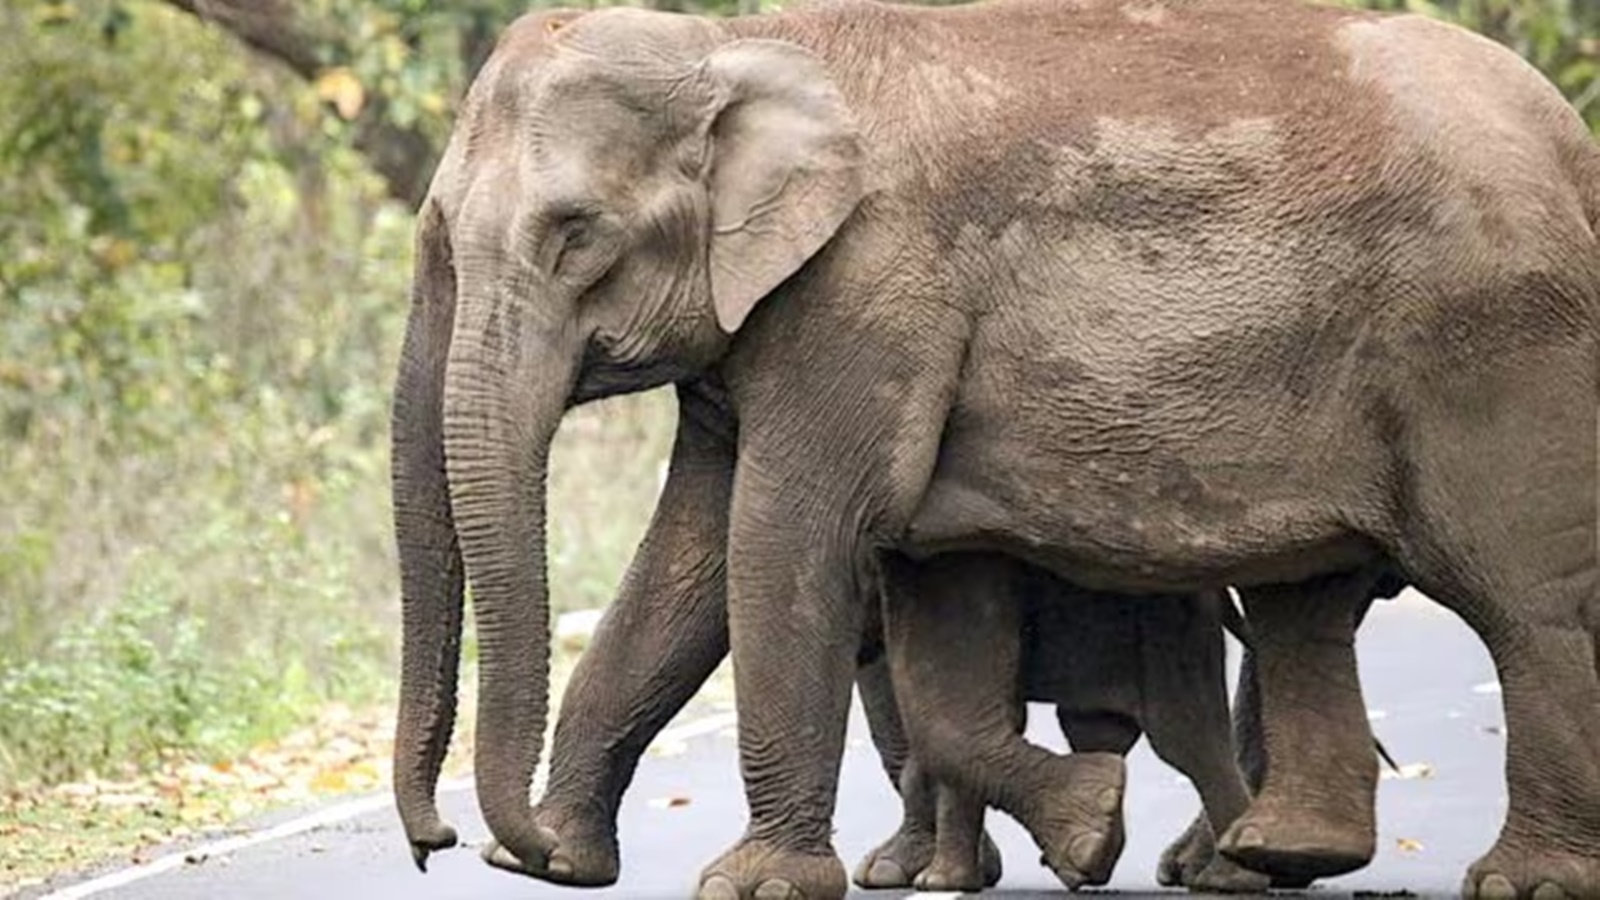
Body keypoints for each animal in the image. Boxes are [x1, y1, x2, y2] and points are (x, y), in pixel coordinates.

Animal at [388, 2, 1600, 898]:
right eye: (438, 237)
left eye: (574, 237)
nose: (436, 847)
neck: (734, 41)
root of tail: (1570, 143)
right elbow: (687, 562)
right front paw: (561, 864)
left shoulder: (866, 291)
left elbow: (784, 538)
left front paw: (753, 883)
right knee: (1307, 603)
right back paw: (1279, 853)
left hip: (1490, 345)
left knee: (1519, 604)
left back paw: (1510, 878)